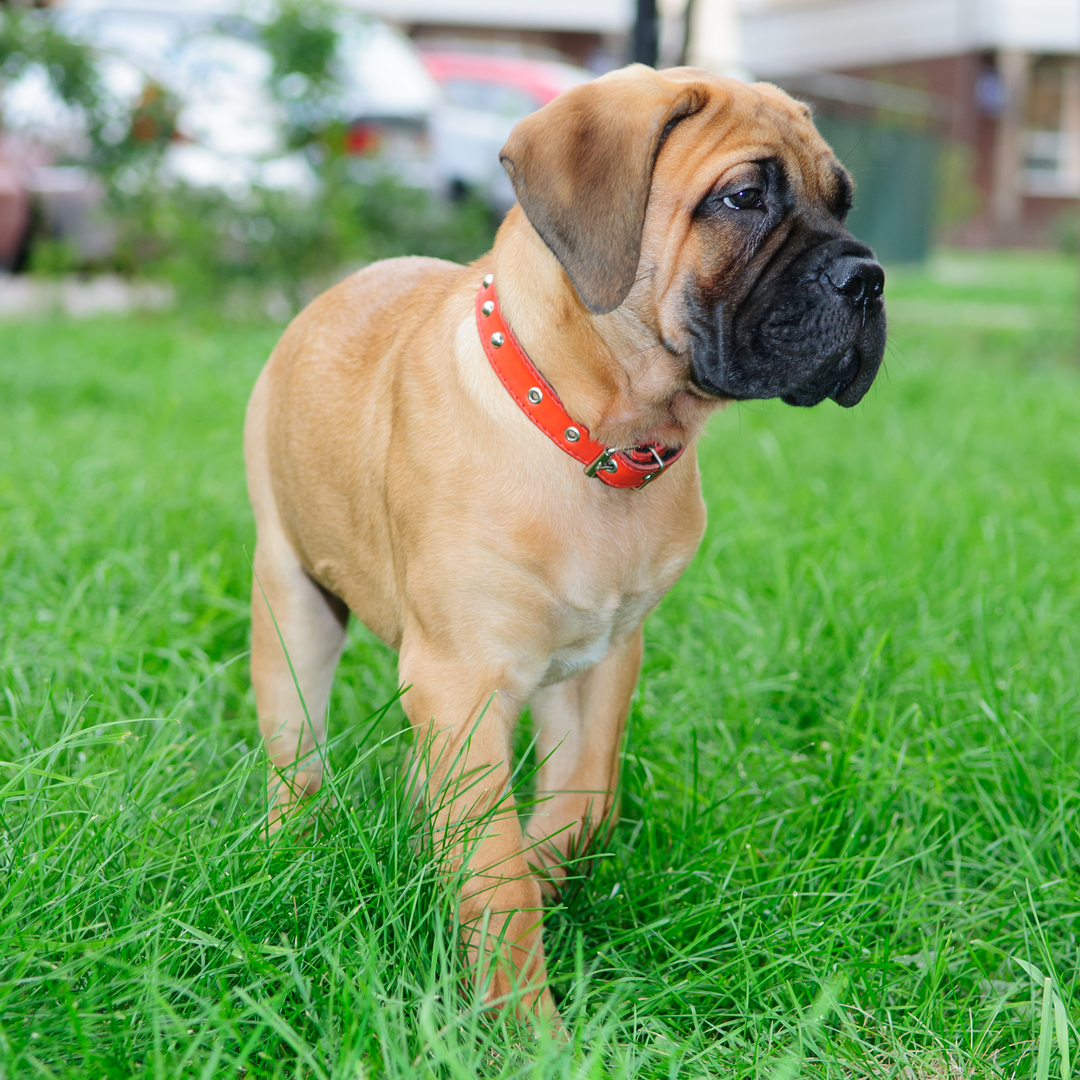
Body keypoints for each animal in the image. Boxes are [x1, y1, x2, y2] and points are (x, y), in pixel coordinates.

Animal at [245, 65, 885, 1019]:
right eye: (742, 199)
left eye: (842, 203)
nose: (868, 279)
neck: (596, 435)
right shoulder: (461, 677)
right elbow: (497, 874)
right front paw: (525, 1024)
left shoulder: (602, 663)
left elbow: (579, 807)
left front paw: (513, 874)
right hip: (292, 601)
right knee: (298, 756)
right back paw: (293, 843)